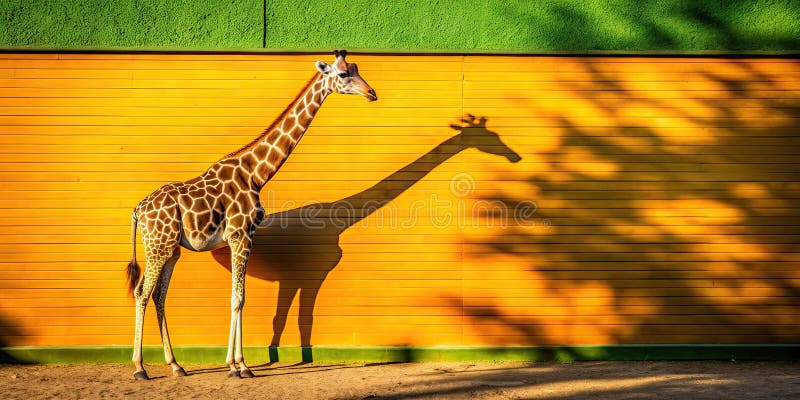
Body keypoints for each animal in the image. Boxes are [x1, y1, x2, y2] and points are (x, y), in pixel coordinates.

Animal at [125, 50, 377, 380]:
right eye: (344, 74)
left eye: (356, 68)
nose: (372, 93)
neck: (256, 174)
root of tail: (137, 211)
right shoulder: (240, 236)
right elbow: (239, 299)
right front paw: (240, 366)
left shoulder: (244, 240)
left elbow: (247, 301)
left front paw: (233, 364)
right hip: (158, 246)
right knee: (142, 293)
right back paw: (140, 367)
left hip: (170, 250)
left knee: (158, 295)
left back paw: (176, 365)